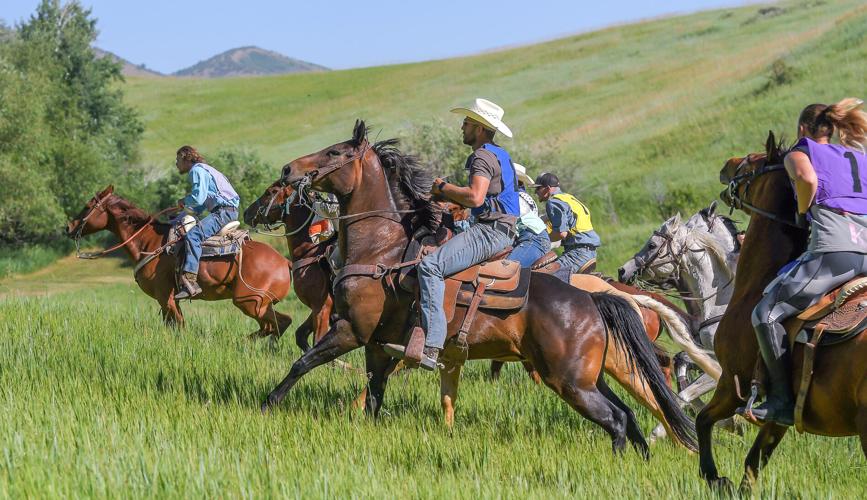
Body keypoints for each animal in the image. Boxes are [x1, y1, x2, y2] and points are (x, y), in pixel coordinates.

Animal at [67, 185, 293, 338]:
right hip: (258, 305)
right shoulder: (171, 300)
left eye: (87, 206)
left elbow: (178, 326)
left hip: (250, 303)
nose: (68, 227)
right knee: (275, 325)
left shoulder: (164, 297)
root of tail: (284, 262)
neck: (148, 241)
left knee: (277, 324)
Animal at [244, 182, 335, 351]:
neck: (310, 251)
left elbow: (319, 342)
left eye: (270, 192)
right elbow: (300, 335)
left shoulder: (322, 307)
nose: (246, 212)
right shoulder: (318, 309)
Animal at [262, 120, 698, 455]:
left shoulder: (350, 330)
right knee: (628, 412)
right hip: (591, 376)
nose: (287, 169)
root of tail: (593, 299)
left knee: (618, 418)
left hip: (569, 381)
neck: (384, 251)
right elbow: (373, 394)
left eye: (335, 152)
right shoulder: (377, 345)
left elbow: (302, 362)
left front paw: (267, 404)